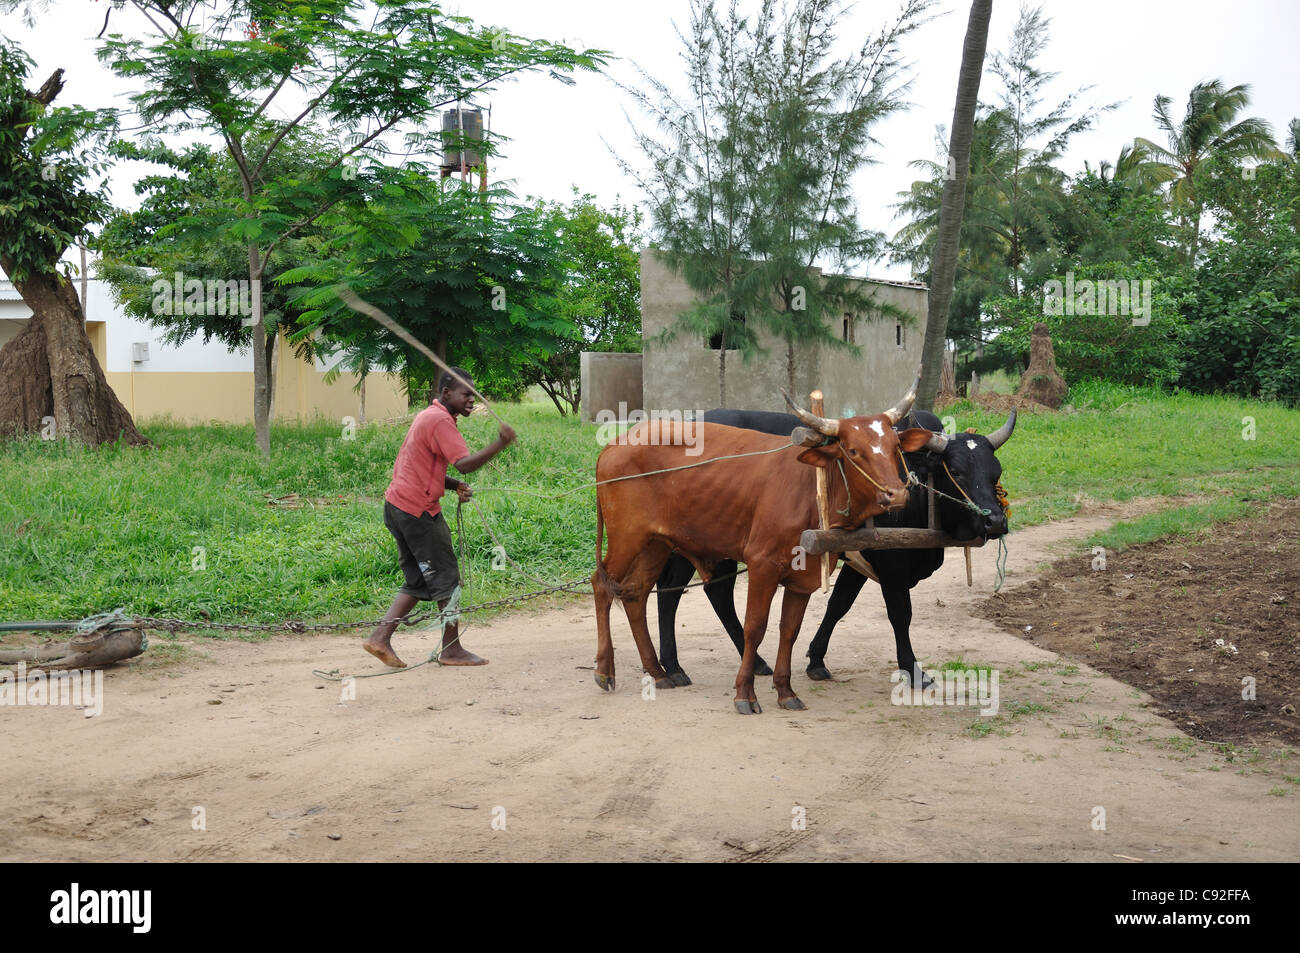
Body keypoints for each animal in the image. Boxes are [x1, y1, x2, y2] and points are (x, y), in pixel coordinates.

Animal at [591, 385, 934, 714]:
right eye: (853, 451)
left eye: (895, 447)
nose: (897, 494)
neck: (813, 487)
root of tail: (614, 445)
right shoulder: (761, 565)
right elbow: (755, 628)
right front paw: (744, 693)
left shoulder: (803, 578)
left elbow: (789, 630)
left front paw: (786, 691)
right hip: (627, 537)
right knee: (602, 585)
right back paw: (606, 670)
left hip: (655, 544)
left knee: (635, 594)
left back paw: (658, 672)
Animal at [655, 407, 1016, 687]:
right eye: (955, 470)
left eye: (996, 472)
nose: (996, 522)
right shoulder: (892, 567)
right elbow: (900, 616)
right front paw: (913, 671)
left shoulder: (857, 556)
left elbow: (839, 605)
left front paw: (816, 659)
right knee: (672, 593)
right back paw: (672, 668)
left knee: (715, 592)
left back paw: (753, 661)